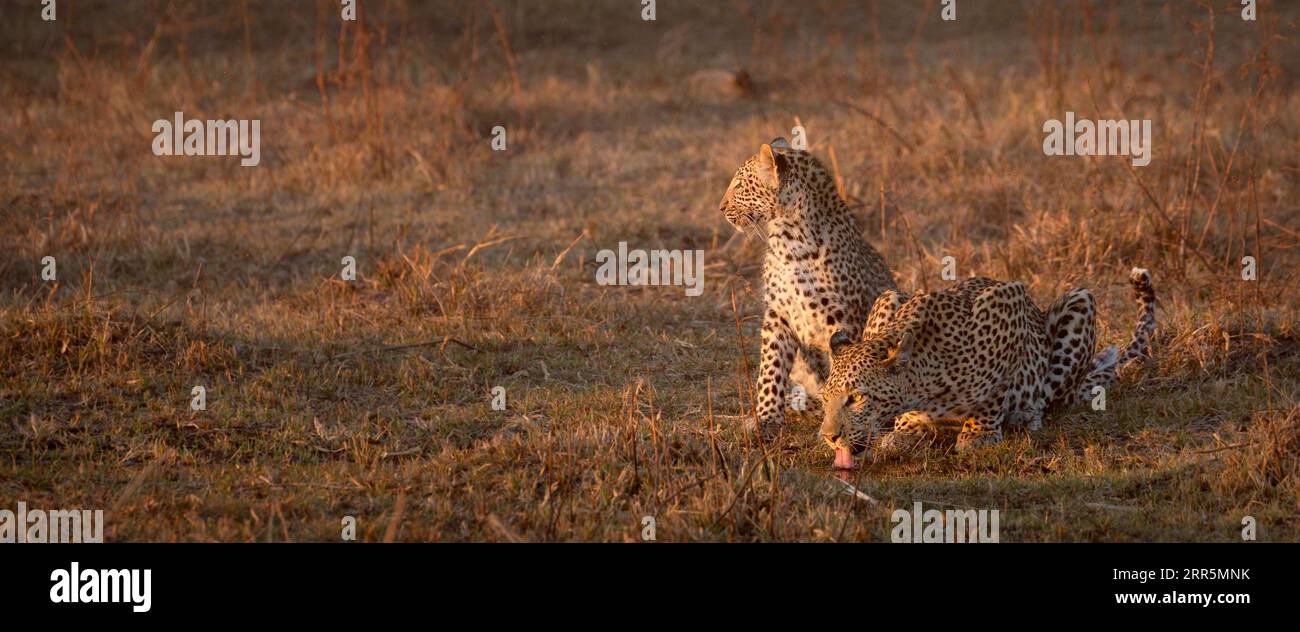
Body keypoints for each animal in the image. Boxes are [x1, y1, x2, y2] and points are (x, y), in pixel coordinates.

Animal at [718, 138, 896, 437]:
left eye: (740, 185)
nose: (720, 208)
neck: (787, 240)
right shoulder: (777, 315)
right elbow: (771, 369)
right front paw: (766, 419)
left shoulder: (841, 321)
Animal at [818, 267, 1157, 468]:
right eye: (825, 400)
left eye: (856, 398)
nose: (829, 436)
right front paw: (906, 428)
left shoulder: (1008, 299)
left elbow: (996, 388)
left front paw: (978, 433)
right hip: (890, 295)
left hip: (1080, 300)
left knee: (1051, 394)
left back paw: (1024, 414)